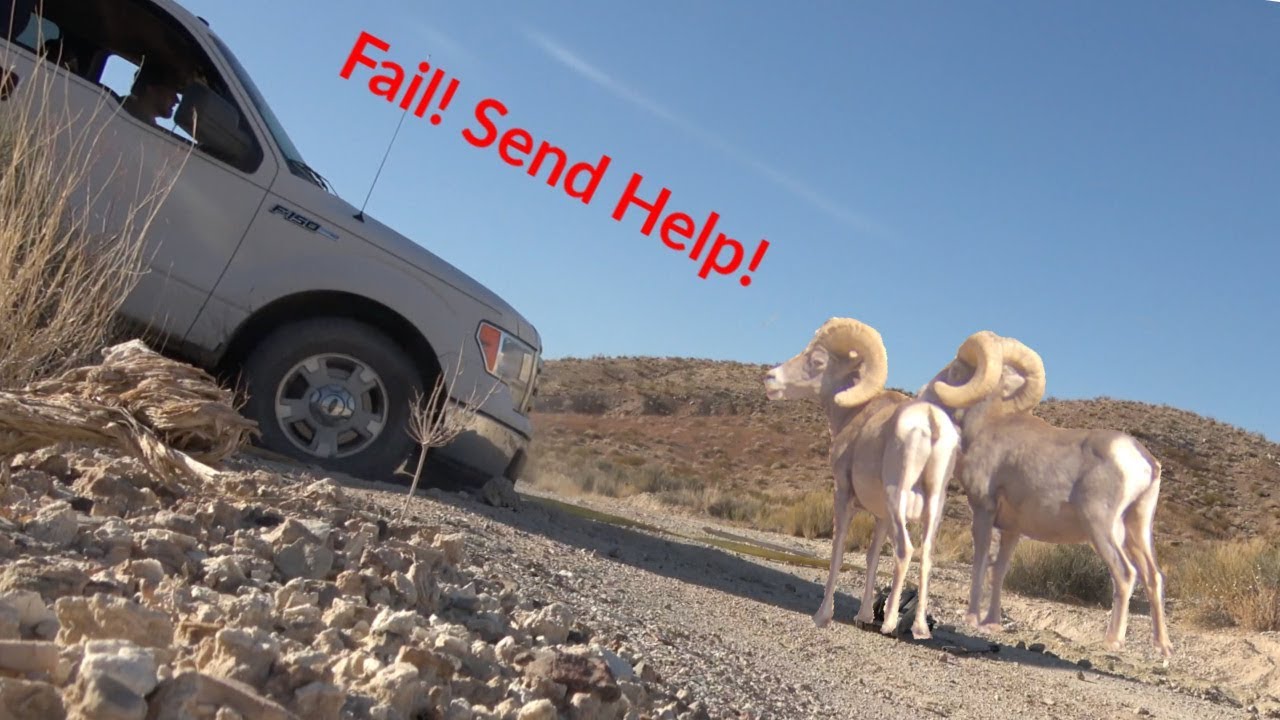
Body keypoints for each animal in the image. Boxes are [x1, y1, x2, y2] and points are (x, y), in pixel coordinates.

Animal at [763, 317, 988, 639]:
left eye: (817, 361)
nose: (771, 379)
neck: (855, 416)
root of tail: (930, 423)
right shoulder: (880, 517)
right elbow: (871, 558)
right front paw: (863, 615)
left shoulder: (843, 495)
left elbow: (838, 550)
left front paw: (823, 616)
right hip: (933, 508)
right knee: (926, 556)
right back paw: (919, 628)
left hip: (898, 501)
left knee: (905, 551)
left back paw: (890, 622)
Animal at [924, 331, 1172, 658]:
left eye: (954, 370)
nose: (925, 393)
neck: (989, 425)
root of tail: (1142, 460)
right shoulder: (1012, 530)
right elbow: (999, 570)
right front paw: (991, 623)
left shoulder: (983, 512)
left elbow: (979, 563)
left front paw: (972, 618)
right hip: (1138, 529)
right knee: (1153, 577)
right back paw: (1163, 647)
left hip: (1103, 528)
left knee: (1125, 574)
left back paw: (1112, 641)